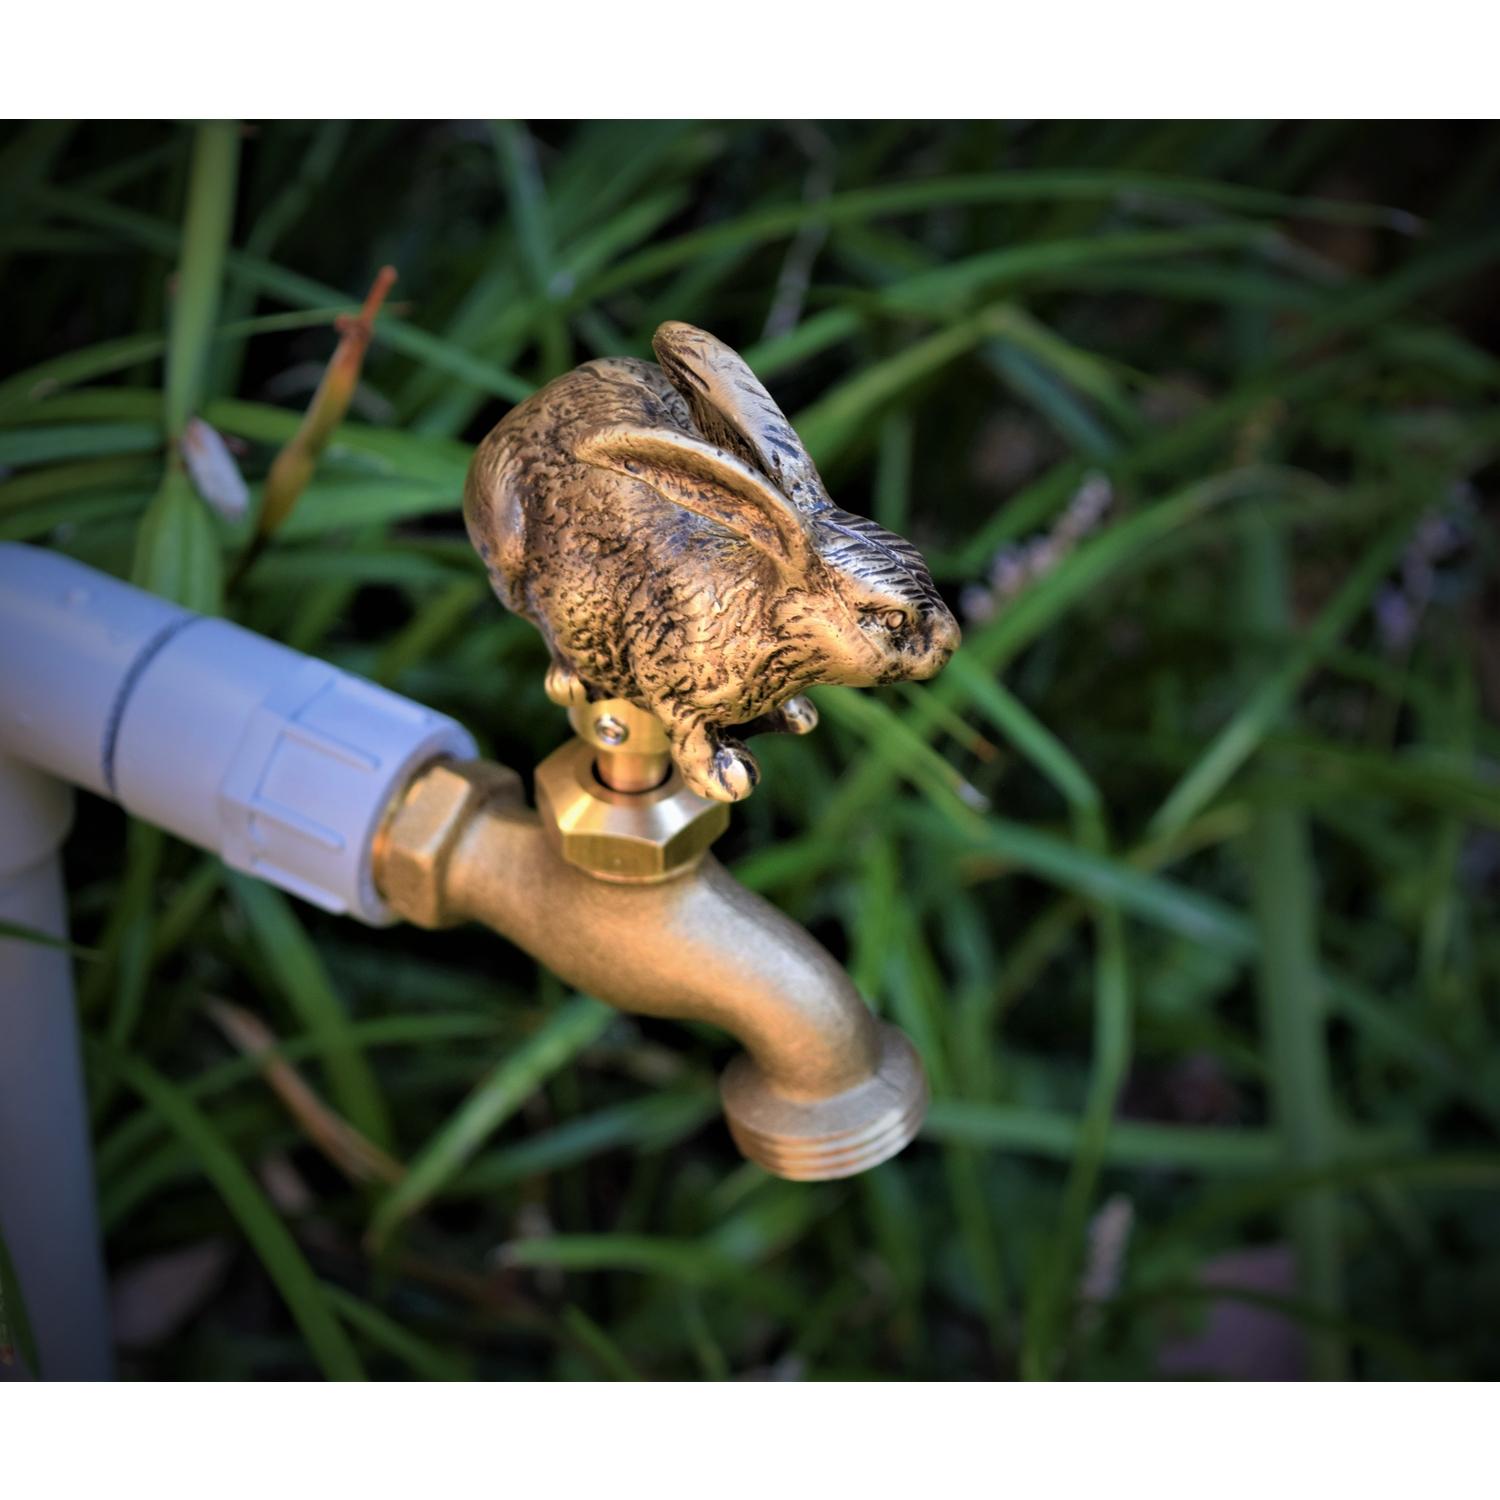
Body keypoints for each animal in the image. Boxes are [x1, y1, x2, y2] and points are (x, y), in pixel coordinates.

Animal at [463, 320, 960, 803]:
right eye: (892, 619)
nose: (951, 642)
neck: (757, 620)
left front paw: (794, 715)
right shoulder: (665, 676)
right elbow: (689, 730)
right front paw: (724, 777)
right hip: (509, 550)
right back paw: (568, 679)